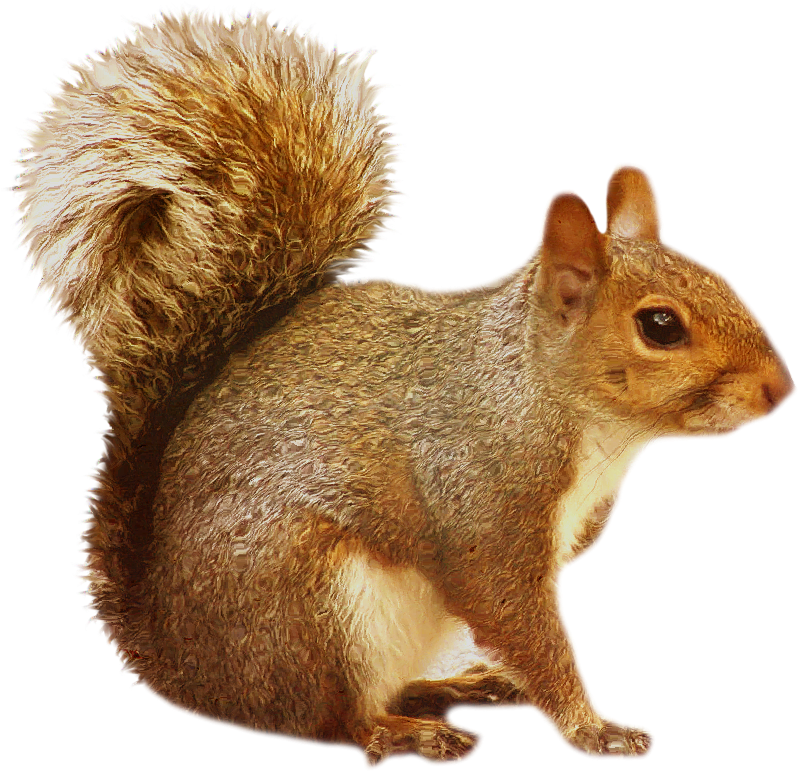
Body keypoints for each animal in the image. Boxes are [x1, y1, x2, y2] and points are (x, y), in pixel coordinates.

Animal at [16, 8, 796, 767]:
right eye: (660, 326)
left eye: (723, 278)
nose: (781, 390)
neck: (559, 405)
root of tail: (178, 660)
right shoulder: (483, 501)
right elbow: (521, 619)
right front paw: (595, 728)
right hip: (308, 604)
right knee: (333, 720)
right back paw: (409, 734)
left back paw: (459, 688)